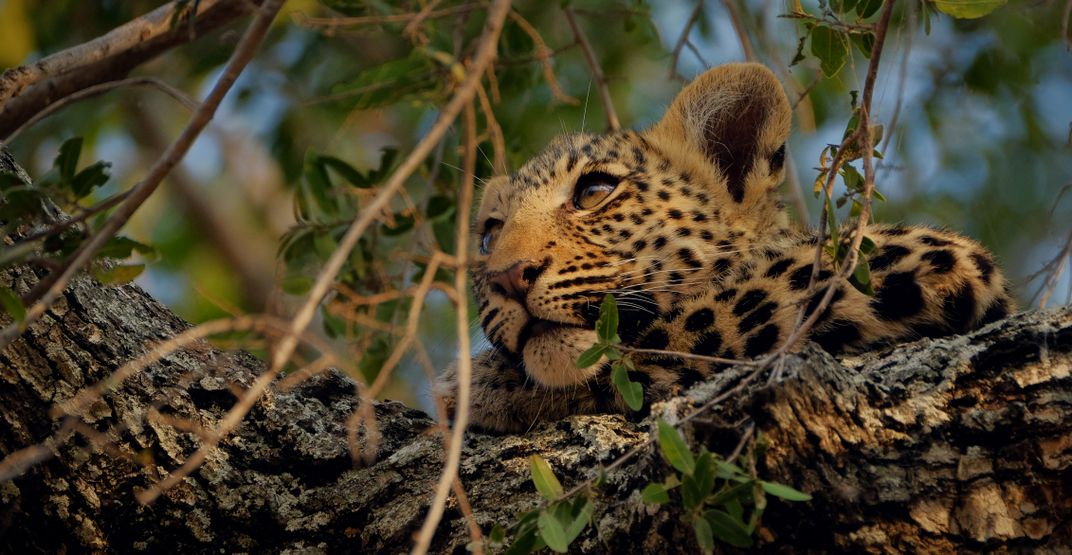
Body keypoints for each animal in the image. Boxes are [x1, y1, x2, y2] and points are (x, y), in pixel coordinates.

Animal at [436, 63, 1013, 433]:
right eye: (489, 235)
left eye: (594, 192)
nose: (508, 276)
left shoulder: (927, 257)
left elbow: (690, 323)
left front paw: (479, 385)